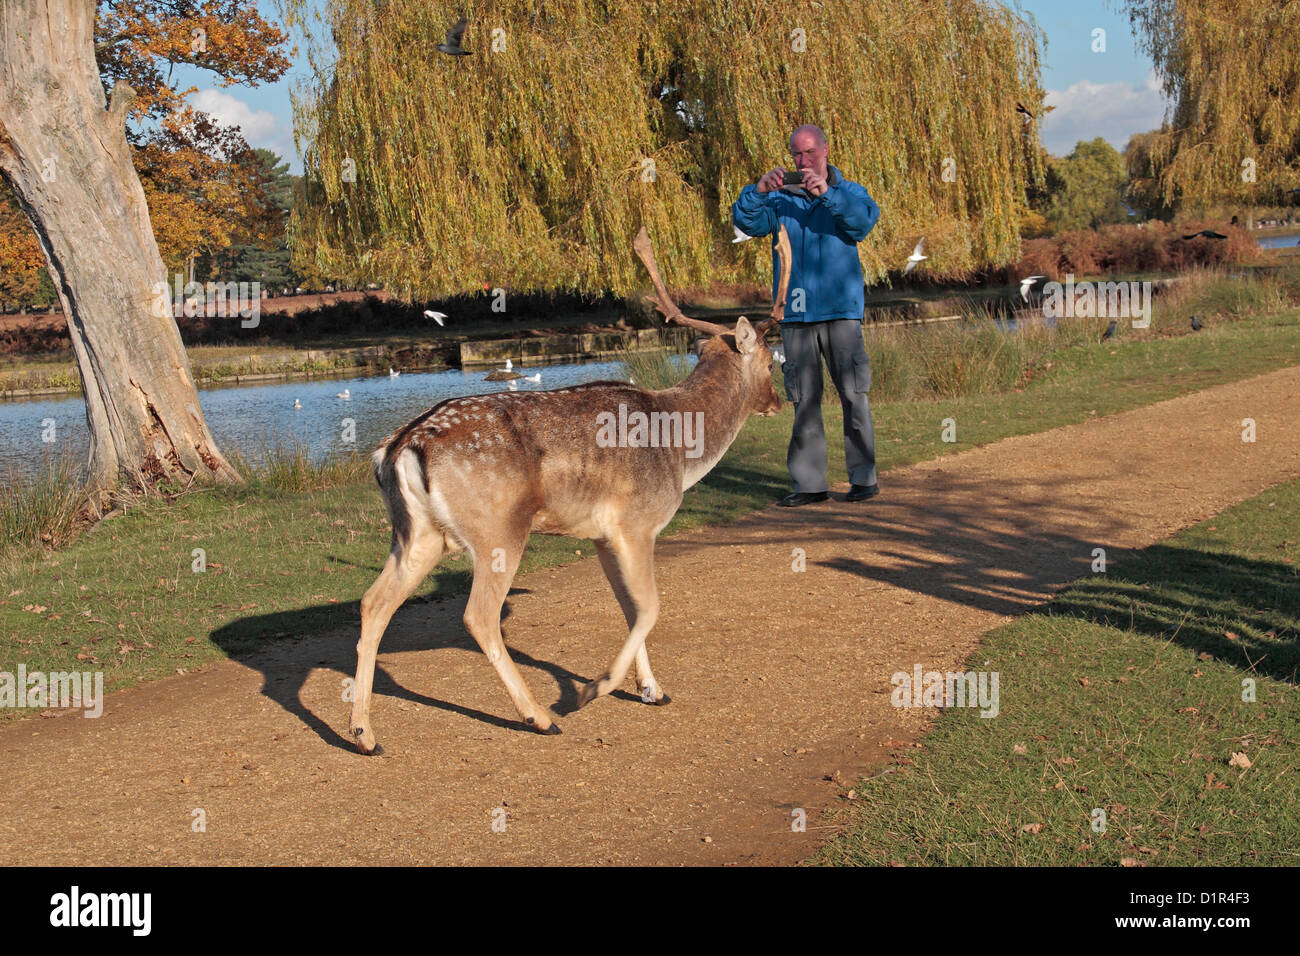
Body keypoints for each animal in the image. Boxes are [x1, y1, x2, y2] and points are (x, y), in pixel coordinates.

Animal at [348, 224, 792, 754]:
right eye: (771, 361)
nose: (779, 401)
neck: (681, 453)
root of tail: (400, 446)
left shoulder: (601, 535)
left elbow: (629, 607)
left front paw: (652, 690)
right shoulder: (638, 523)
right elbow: (650, 608)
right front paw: (592, 690)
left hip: (418, 535)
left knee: (372, 603)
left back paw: (364, 733)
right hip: (497, 531)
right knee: (479, 616)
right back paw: (539, 716)